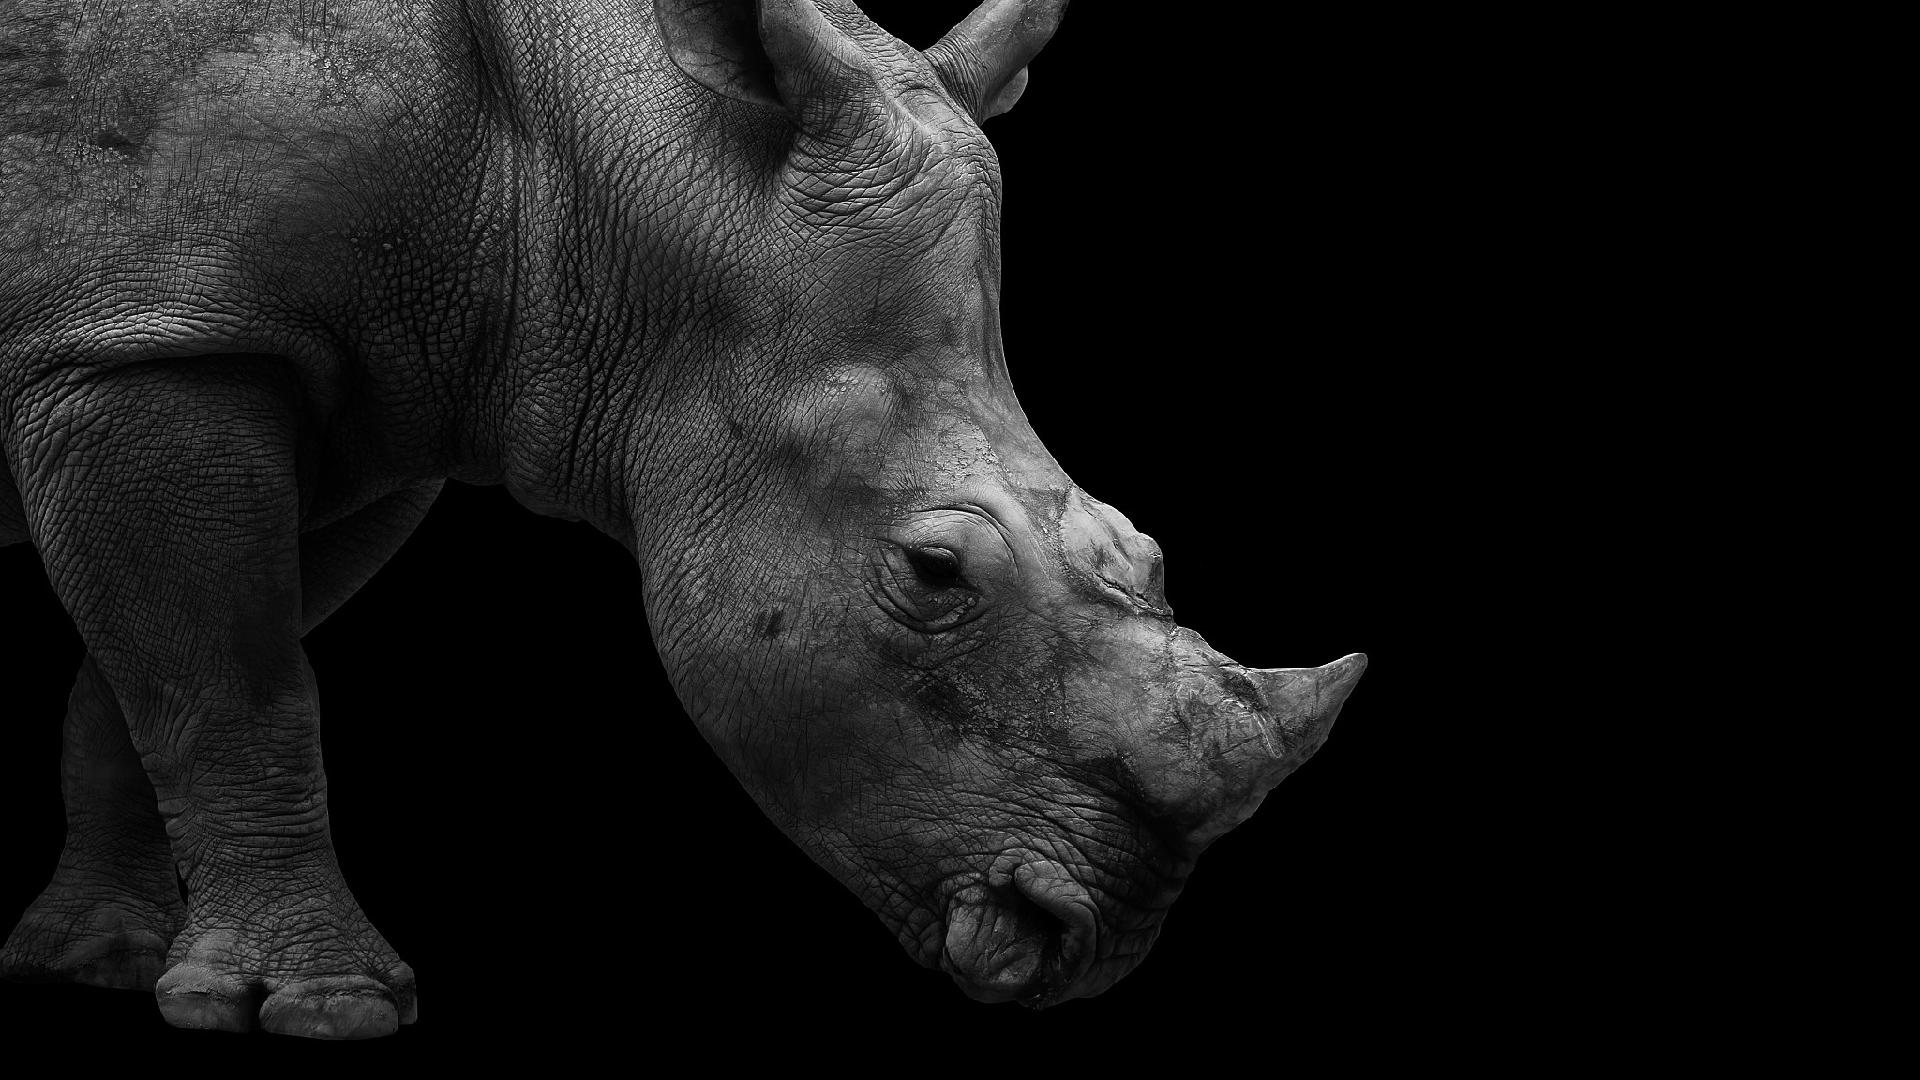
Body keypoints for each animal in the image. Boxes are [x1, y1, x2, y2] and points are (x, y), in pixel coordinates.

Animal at [0, 0, 1366, 1038]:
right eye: (935, 572)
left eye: (1147, 548)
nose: (1091, 944)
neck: (587, 172)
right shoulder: (153, 340)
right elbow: (239, 683)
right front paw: (323, 1008)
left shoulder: (335, 382)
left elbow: (155, 679)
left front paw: (95, 962)